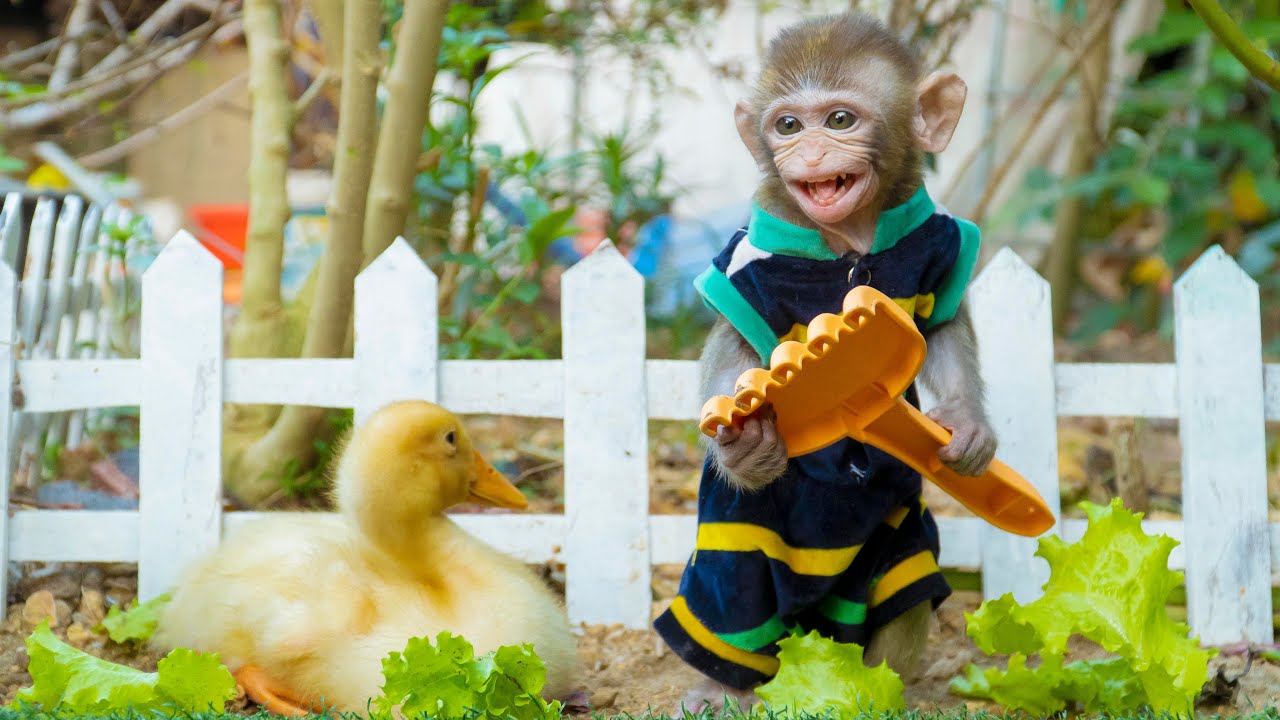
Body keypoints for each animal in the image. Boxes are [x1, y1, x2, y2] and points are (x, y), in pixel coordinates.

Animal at [652, 12, 997, 713]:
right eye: (788, 125)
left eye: (838, 120)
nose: (809, 155)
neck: (851, 242)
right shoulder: (742, 273)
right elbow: (732, 352)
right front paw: (742, 448)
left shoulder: (934, 234)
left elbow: (945, 328)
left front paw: (968, 425)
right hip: (739, 543)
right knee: (732, 599)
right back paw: (718, 685)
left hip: (892, 539)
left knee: (903, 582)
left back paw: (873, 688)